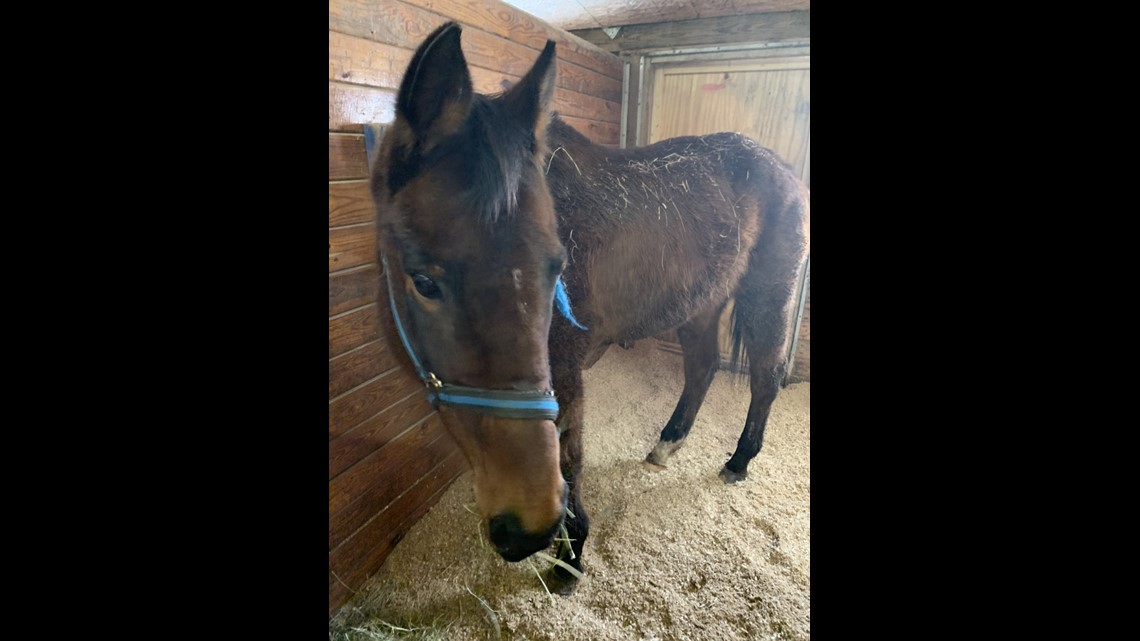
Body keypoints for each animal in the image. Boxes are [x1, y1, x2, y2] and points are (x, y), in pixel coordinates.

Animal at [371, 22, 809, 594]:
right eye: (422, 280)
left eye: (558, 266)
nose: (524, 528)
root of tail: (782, 168)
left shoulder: (564, 372)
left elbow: (570, 457)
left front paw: (570, 557)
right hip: (702, 303)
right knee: (702, 367)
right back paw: (667, 444)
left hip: (768, 295)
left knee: (765, 376)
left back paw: (738, 461)